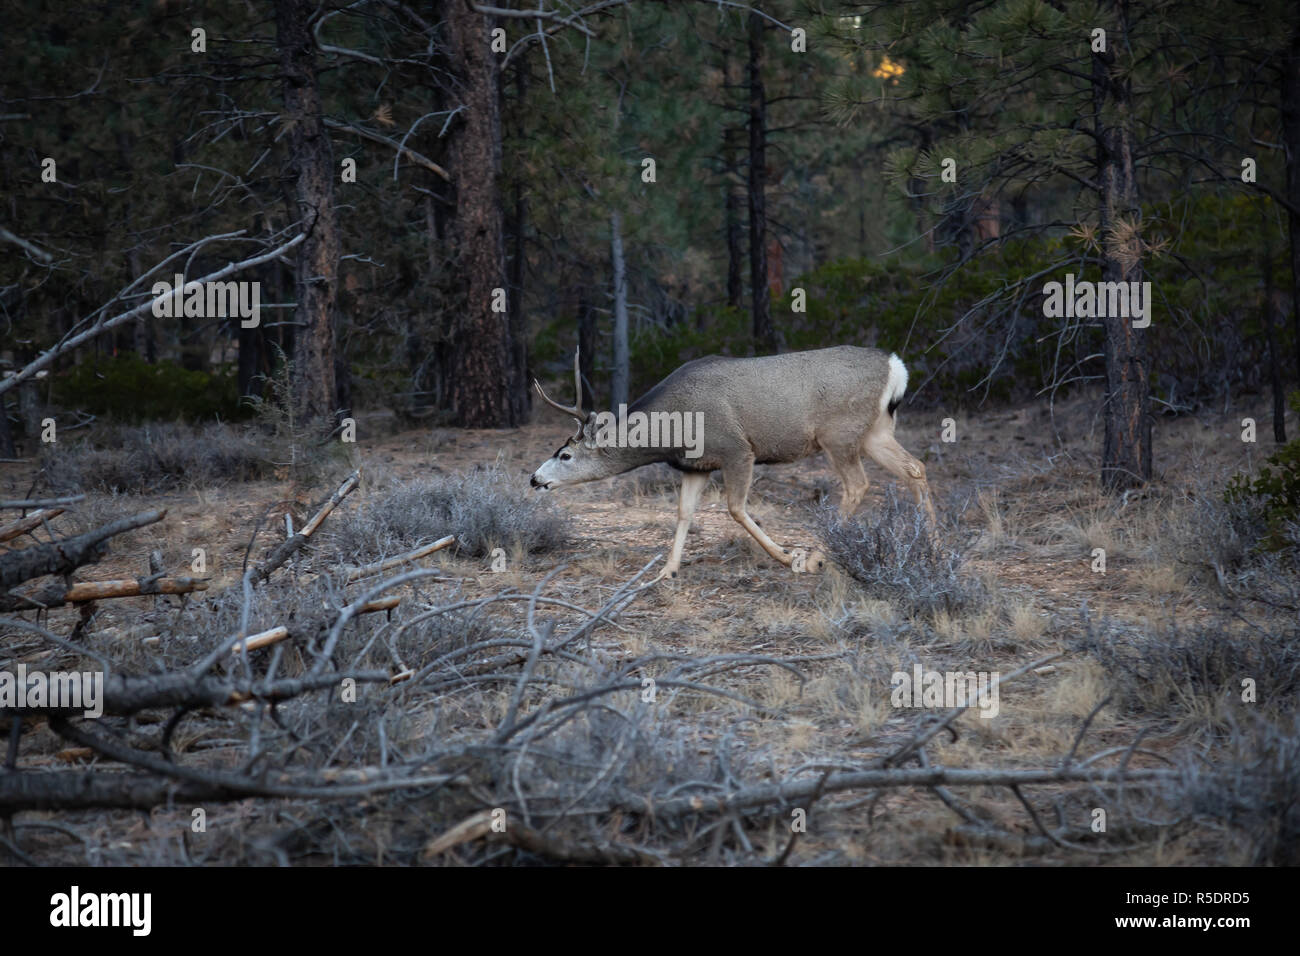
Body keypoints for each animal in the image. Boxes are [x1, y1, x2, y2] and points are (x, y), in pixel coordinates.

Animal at [529, 345, 936, 579]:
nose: (534, 479)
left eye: (565, 455)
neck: (672, 428)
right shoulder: (697, 465)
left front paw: (788, 556)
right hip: (875, 431)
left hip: (839, 432)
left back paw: (815, 558)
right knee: (916, 468)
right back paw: (934, 544)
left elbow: (736, 509)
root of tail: (896, 367)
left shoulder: (737, 450)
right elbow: (684, 513)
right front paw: (666, 571)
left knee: (858, 485)